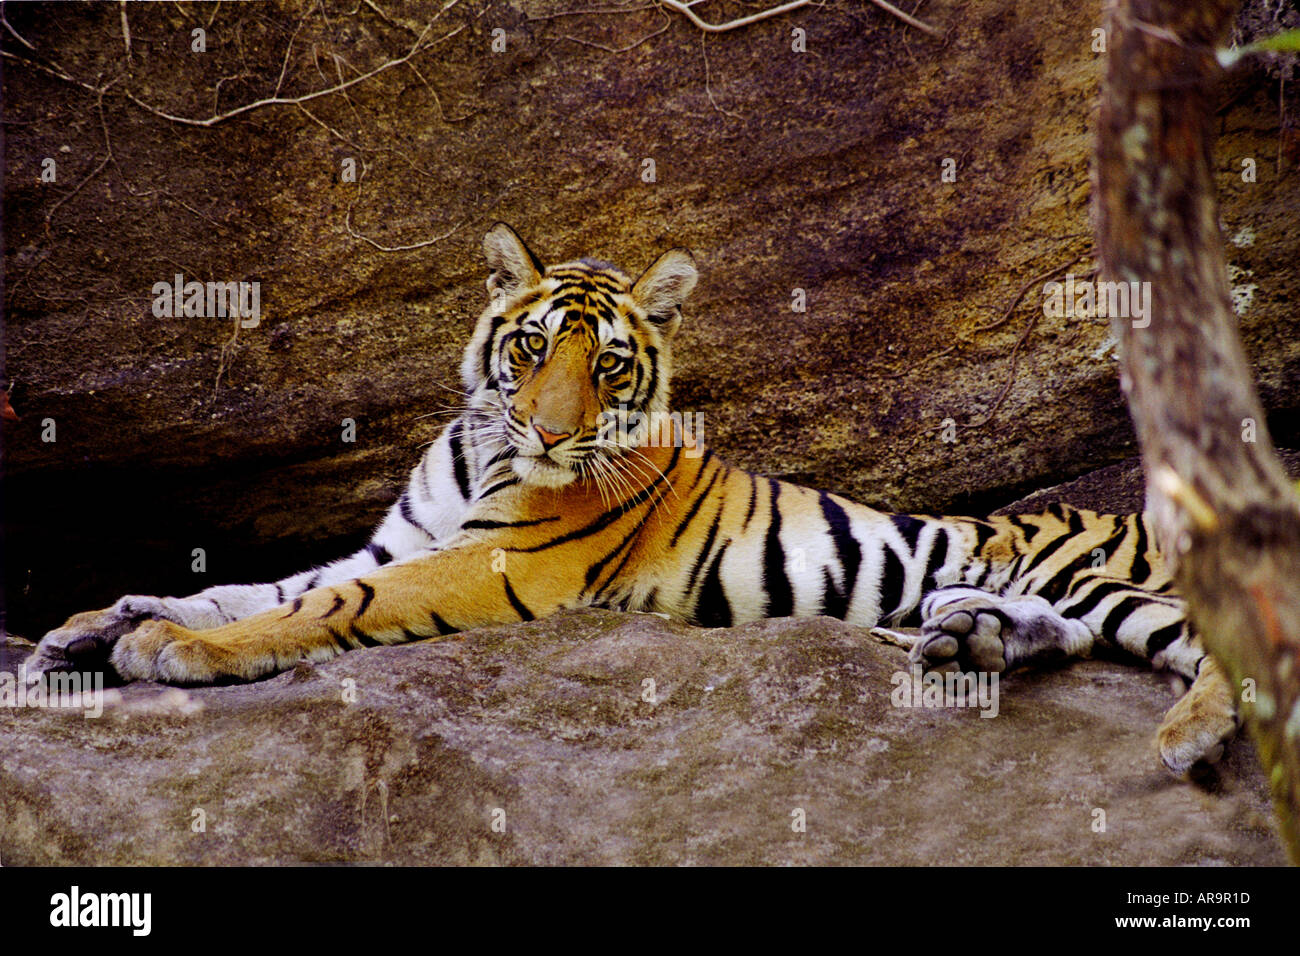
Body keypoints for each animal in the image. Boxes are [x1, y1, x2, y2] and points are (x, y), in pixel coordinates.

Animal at [24, 222, 1238, 775]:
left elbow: (320, 607)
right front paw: (97, 625)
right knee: (1062, 636)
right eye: (529, 346)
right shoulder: (399, 541)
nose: (553, 429)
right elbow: (258, 585)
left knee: (1226, 656)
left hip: (1109, 575)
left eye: (606, 364)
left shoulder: (495, 564)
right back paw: (967, 639)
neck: (485, 445)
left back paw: (1186, 740)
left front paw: (172, 650)